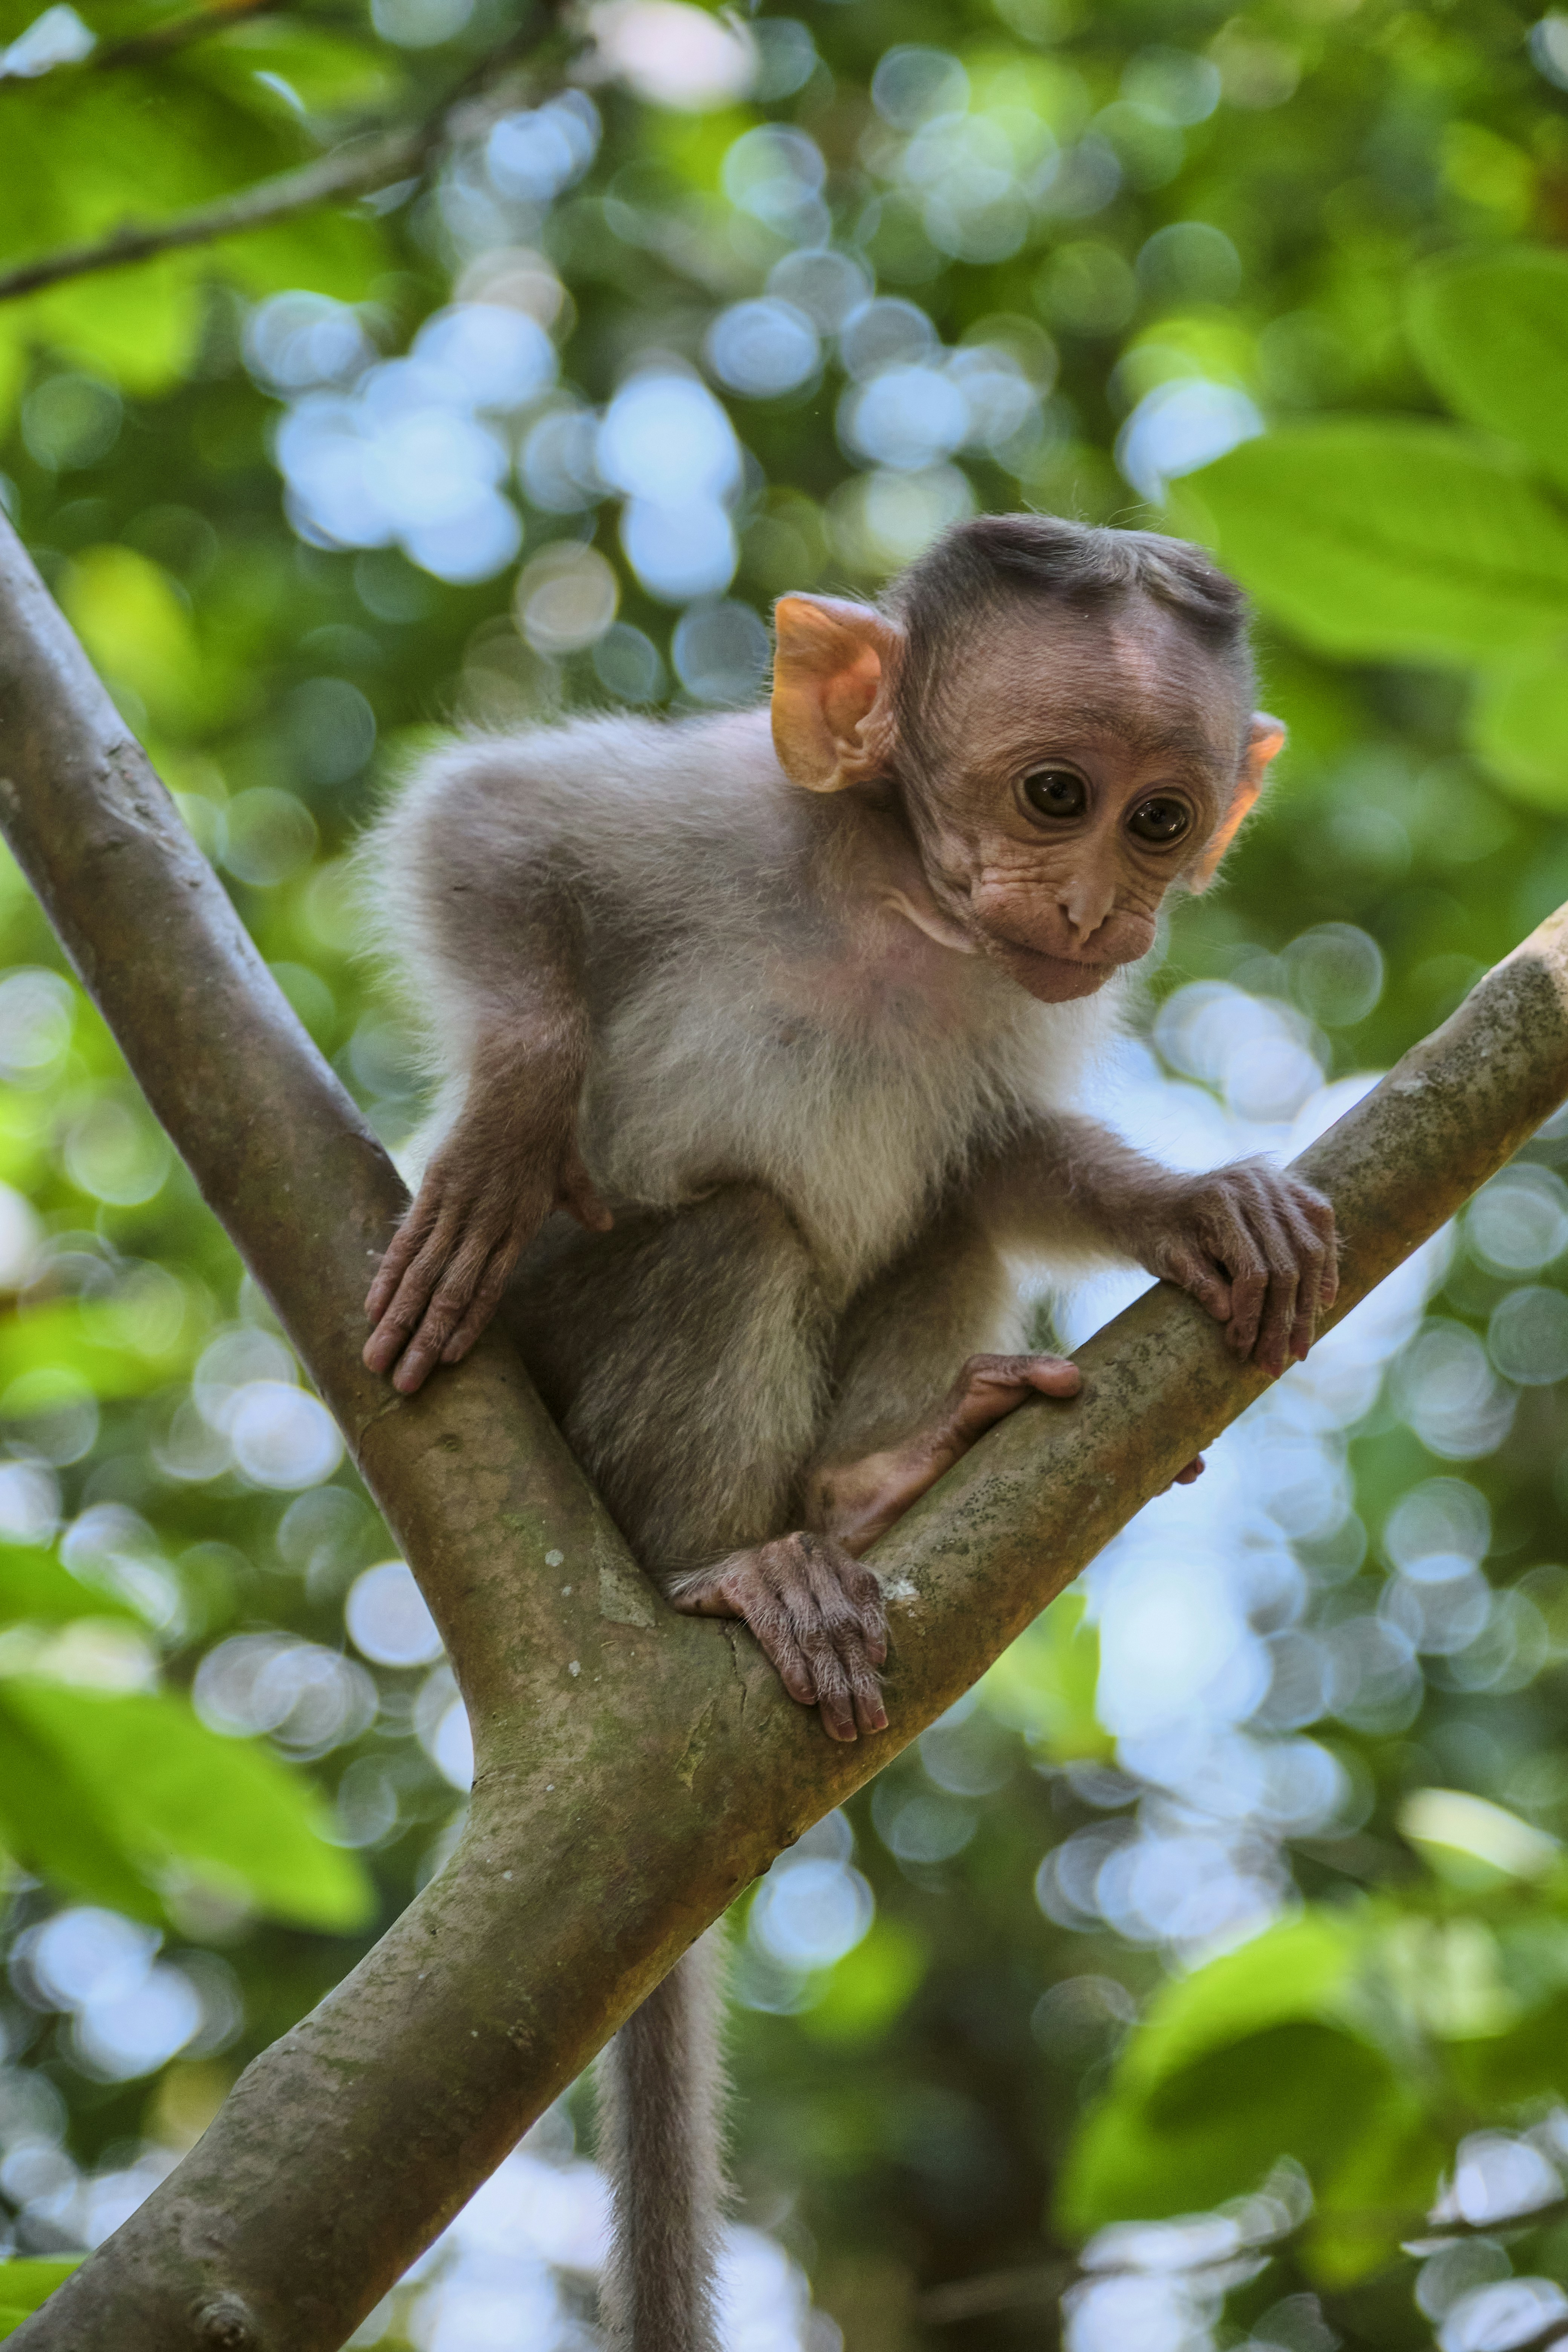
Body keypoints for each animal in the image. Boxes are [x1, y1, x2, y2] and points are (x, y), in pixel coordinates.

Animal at [359, 513, 1337, 2351]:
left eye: (1161, 819)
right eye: (1054, 795)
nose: (1098, 904)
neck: (898, 917)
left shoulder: (1021, 999)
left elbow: (1003, 1156)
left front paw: (1187, 1206)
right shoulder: (717, 815)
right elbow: (486, 821)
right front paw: (516, 1100)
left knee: (943, 1218)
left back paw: (877, 1487)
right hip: (565, 1361)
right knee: (743, 1236)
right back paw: (731, 1566)